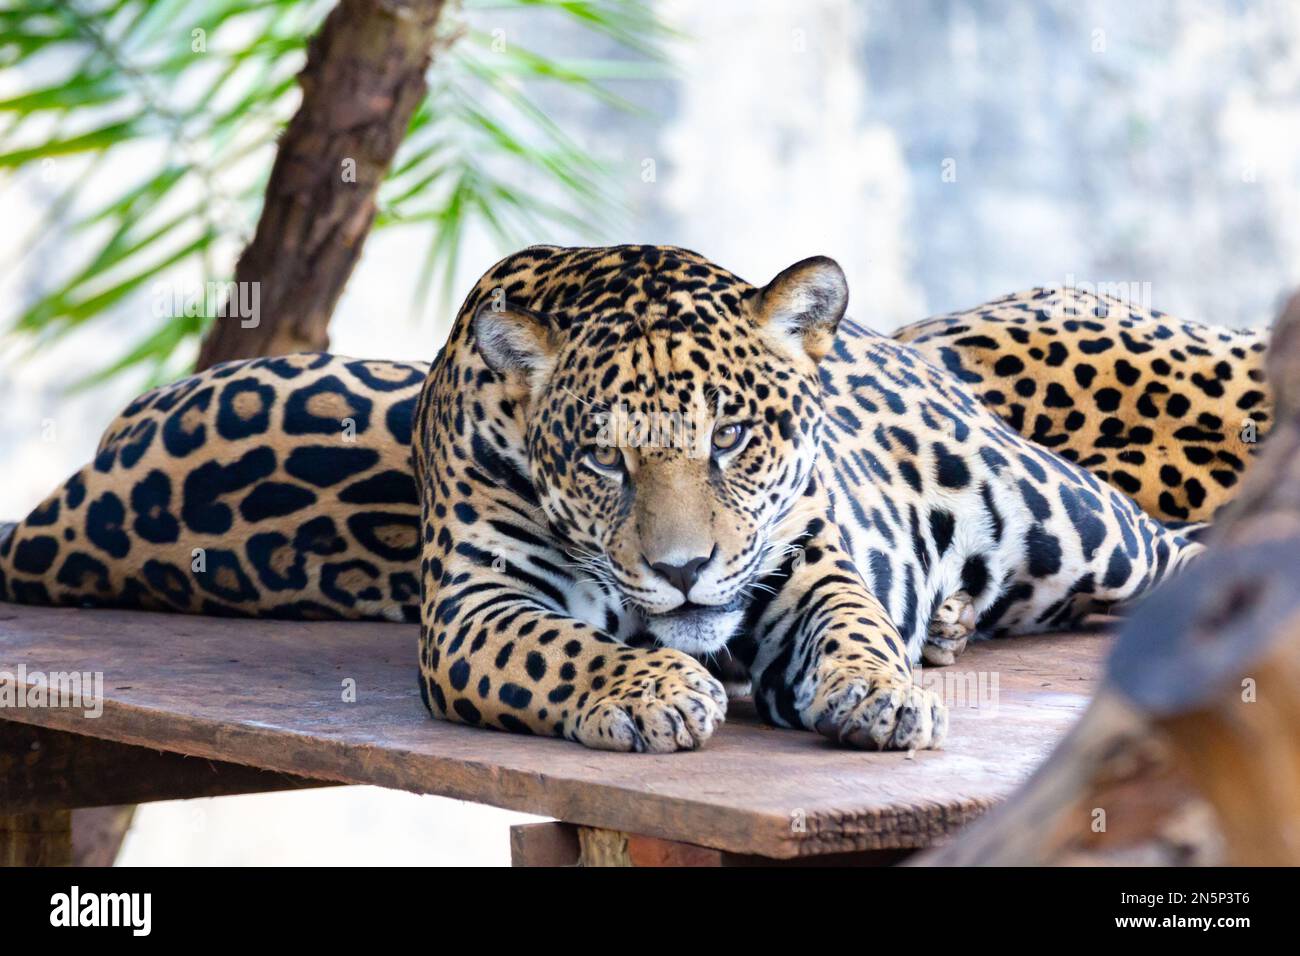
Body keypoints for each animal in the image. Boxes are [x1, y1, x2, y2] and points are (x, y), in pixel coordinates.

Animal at [0, 245, 1211, 755]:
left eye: (731, 437)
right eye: (601, 458)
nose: (680, 570)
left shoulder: (808, 557)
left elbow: (852, 620)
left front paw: (879, 691)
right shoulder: (475, 611)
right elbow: (565, 648)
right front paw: (657, 691)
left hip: (1062, 514)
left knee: (1169, 549)